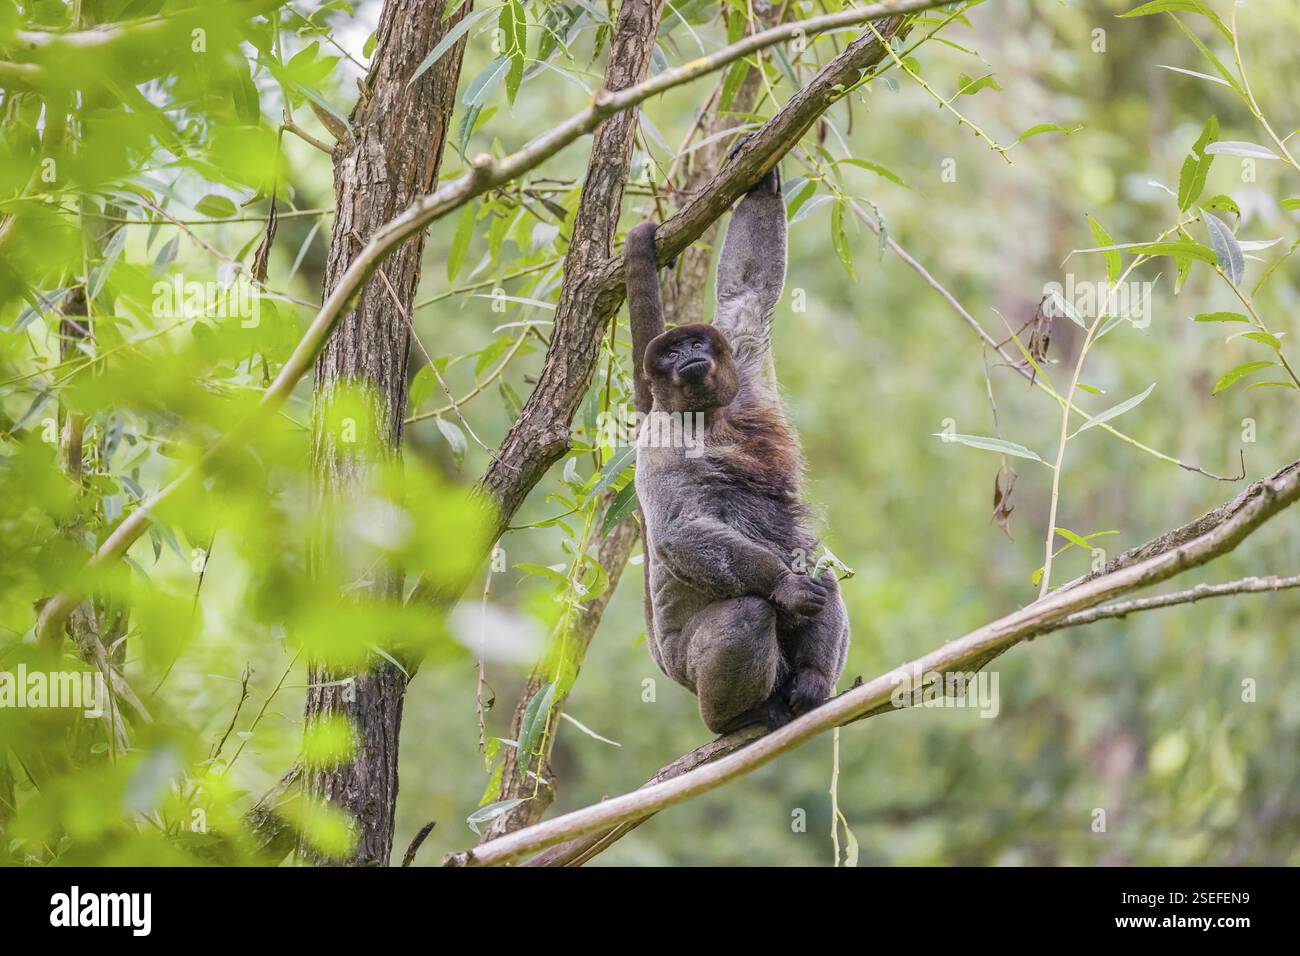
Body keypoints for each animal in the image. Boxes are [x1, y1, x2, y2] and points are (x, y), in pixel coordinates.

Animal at [624, 156, 849, 735]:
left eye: (695, 342)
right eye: (671, 352)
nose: (686, 355)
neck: (709, 413)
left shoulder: (741, 353)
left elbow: (747, 291)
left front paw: (761, 179)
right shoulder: (659, 439)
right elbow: (679, 530)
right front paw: (785, 584)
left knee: (825, 573)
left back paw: (812, 683)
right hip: (691, 666)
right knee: (750, 611)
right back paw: (738, 717)